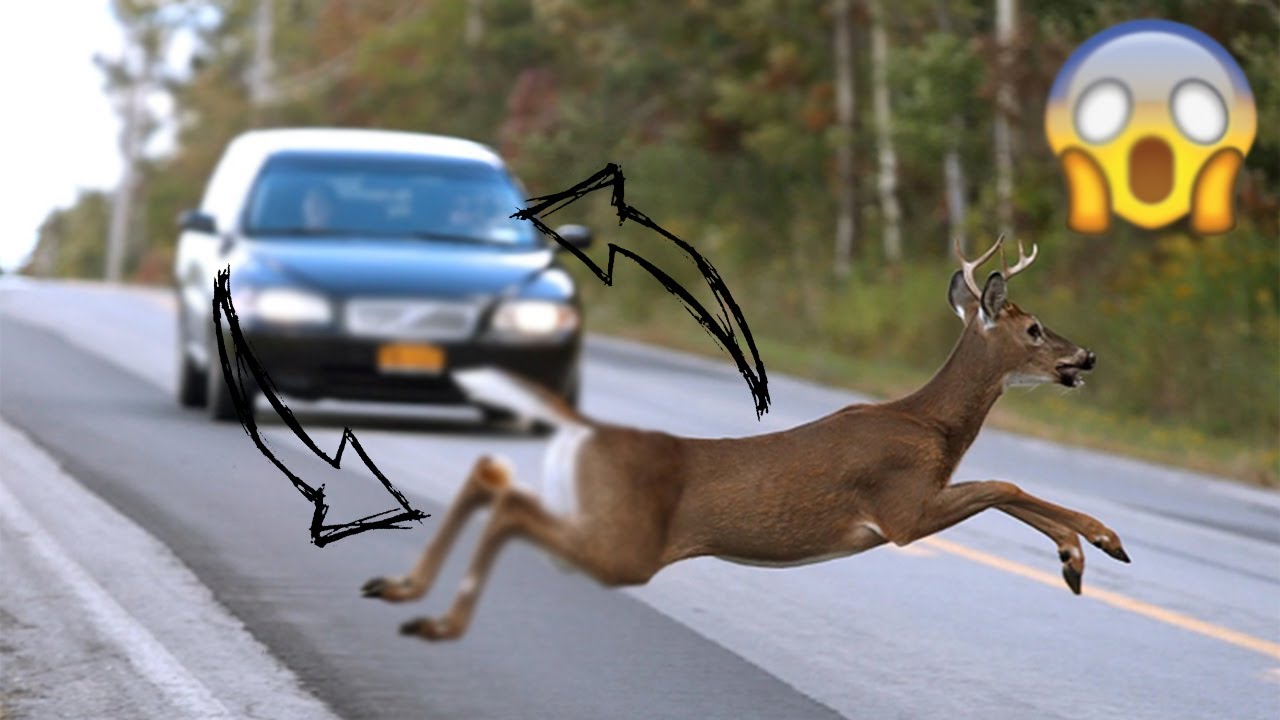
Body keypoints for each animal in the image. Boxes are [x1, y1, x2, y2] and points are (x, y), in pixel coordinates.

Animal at [361, 236, 1130, 641]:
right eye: (1033, 329)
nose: (1087, 357)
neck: (932, 426)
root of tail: (589, 431)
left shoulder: (914, 504)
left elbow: (1006, 486)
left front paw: (1084, 551)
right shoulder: (902, 508)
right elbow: (1005, 482)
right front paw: (1090, 546)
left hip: (597, 515)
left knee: (495, 478)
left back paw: (402, 591)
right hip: (628, 544)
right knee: (511, 506)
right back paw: (435, 619)